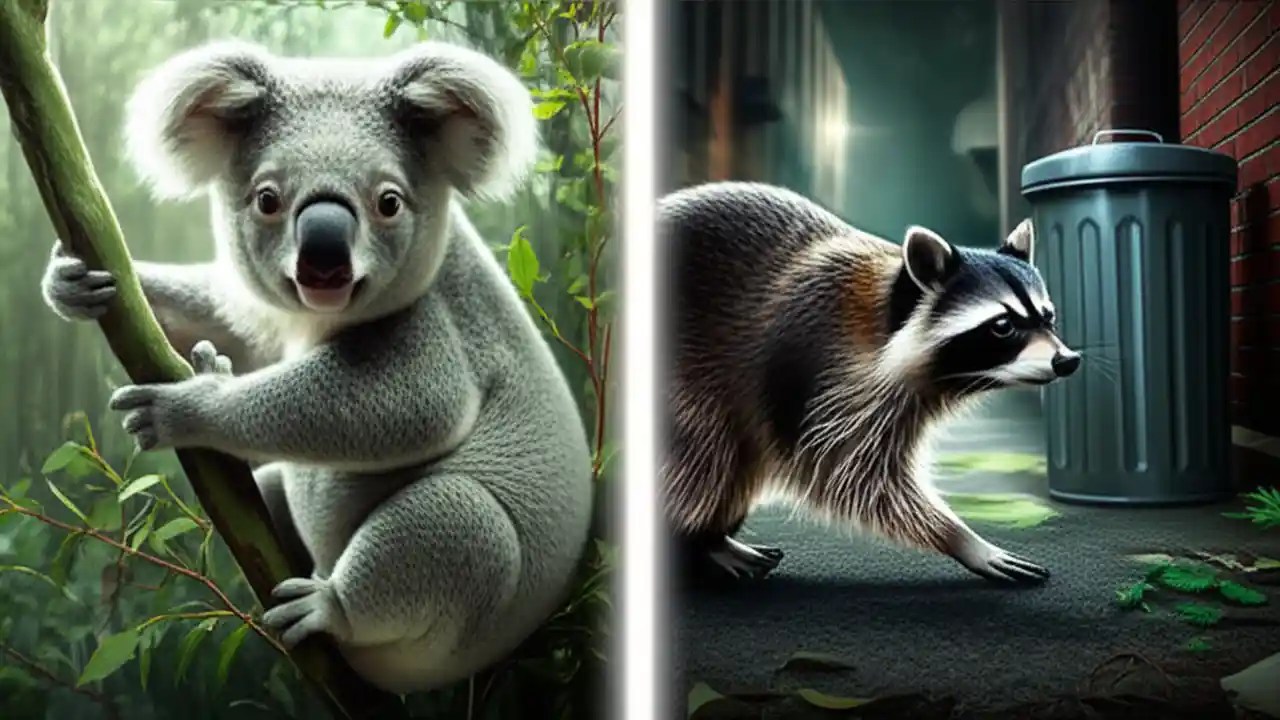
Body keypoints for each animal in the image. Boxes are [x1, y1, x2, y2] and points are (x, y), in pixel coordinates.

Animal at [661, 182, 1078, 585]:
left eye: (1048, 317)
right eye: (1003, 326)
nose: (1068, 361)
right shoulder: (817, 375)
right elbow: (847, 476)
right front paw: (960, 537)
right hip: (687, 384)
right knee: (704, 455)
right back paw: (697, 541)